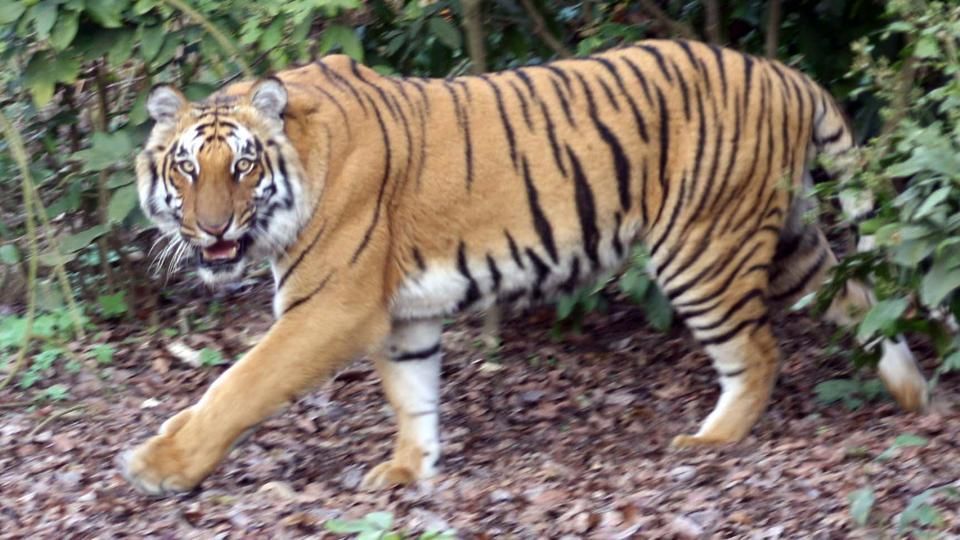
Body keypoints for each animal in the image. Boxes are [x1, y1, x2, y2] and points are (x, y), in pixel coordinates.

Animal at [121, 39, 929, 495]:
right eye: (188, 167)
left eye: (243, 165)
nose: (212, 227)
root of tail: (785, 75)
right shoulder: (405, 315)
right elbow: (412, 395)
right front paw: (409, 471)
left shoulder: (329, 309)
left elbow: (236, 388)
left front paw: (160, 468)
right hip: (786, 243)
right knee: (860, 298)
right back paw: (913, 394)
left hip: (704, 249)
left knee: (757, 353)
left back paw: (711, 440)